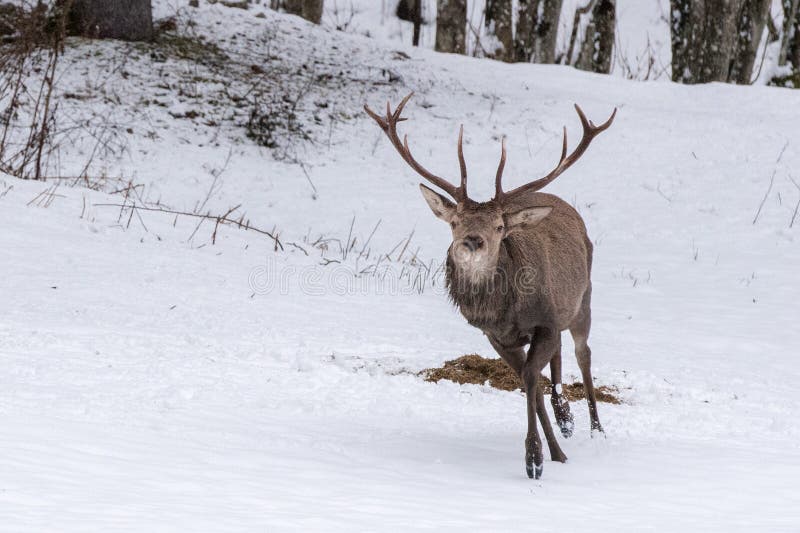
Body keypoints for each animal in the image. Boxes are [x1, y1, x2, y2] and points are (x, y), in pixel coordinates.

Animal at [365, 93, 616, 479]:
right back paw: (565, 418)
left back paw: (596, 429)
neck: (507, 311)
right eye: (454, 221)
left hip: (583, 299)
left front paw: (535, 458)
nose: (472, 241)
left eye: (499, 226)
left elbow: (531, 376)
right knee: (558, 359)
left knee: (582, 353)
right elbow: (529, 382)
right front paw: (552, 450)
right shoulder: (494, 336)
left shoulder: (545, 321)